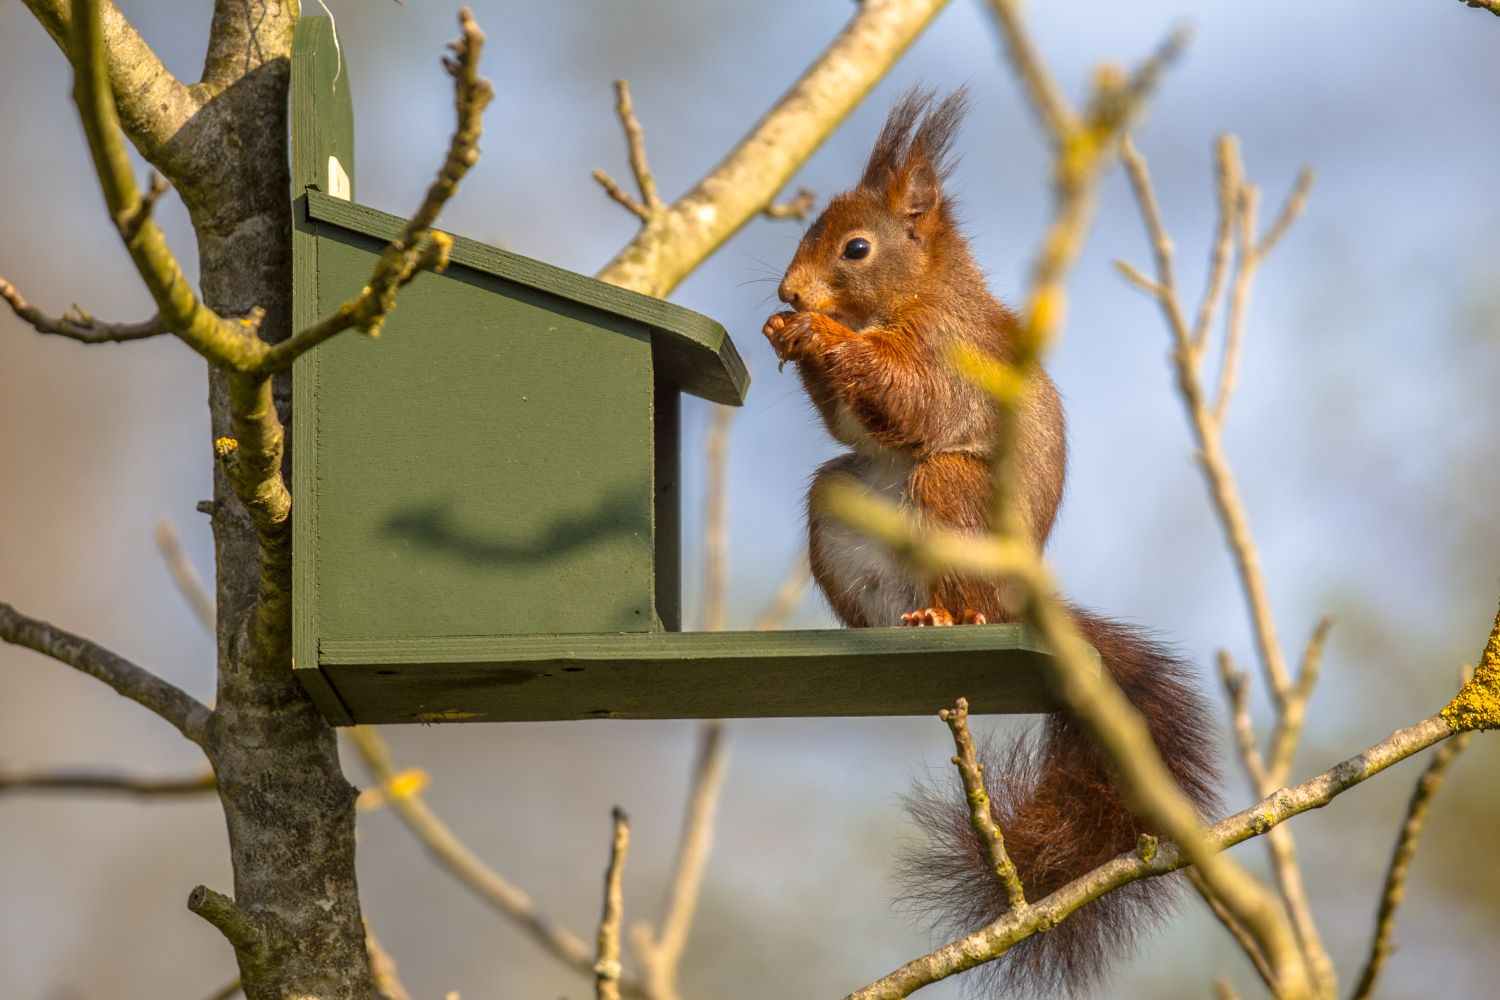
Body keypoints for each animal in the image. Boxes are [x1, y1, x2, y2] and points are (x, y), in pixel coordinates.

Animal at [762, 89, 1220, 998]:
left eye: (856, 247)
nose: (793, 291)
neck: (913, 296)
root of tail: (1020, 599)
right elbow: (853, 423)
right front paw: (782, 330)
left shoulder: (948, 352)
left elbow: (910, 397)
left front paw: (824, 338)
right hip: (839, 505)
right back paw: (888, 626)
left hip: (955, 495)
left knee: (956, 565)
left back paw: (950, 619)